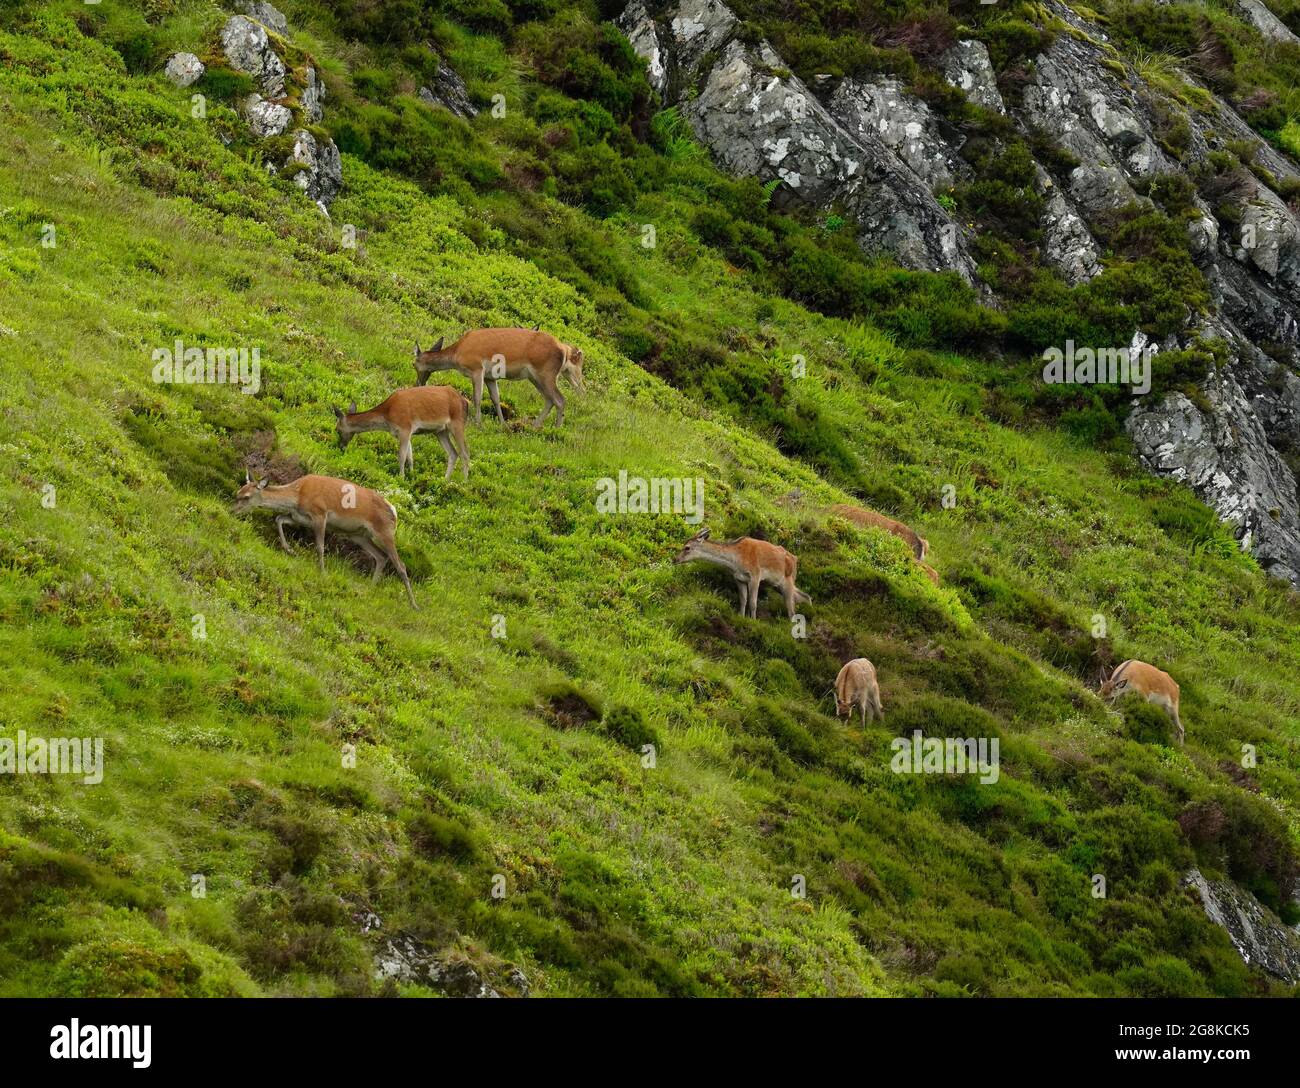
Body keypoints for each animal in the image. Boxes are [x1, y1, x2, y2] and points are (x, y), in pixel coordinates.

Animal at [231, 472, 417, 608]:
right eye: (237, 493)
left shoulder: (320, 513)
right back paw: (370, 589)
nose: (232, 511)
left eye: (246, 496)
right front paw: (289, 549)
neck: (297, 497)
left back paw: (414, 605)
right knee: (381, 556)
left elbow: (320, 546)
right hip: (358, 534)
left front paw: (322, 572)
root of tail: (394, 511)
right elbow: (279, 519)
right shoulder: (300, 518)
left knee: (400, 565)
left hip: (384, 532)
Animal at [334, 385, 470, 481]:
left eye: (337, 430)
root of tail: (465, 402)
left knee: (465, 453)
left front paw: (401, 477)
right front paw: (412, 476)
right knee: (453, 453)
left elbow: (402, 455)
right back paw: (445, 480)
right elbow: (410, 456)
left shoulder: (405, 428)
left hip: (457, 423)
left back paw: (464, 482)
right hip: (440, 431)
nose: (340, 447)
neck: (387, 416)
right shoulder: (407, 432)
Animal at [413, 328, 585, 428]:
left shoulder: (477, 368)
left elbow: (477, 397)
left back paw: (556, 429)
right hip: (535, 377)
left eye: (414, 364)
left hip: (546, 373)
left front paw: (477, 423)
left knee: (560, 399)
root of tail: (564, 349)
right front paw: (503, 424)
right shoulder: (490, 377)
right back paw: (534, 426)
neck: (457, 355)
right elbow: (495, 398)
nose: (417, 384)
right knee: (550, 399)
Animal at [673, 527, 811, 619]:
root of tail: (795, 559)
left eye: (687, 547)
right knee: (804, 597)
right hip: (776, 585)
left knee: (791, 610)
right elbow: (743, 599)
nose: (675, 559)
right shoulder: (739, 578)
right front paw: (741, 617)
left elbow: (753, 602)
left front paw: (753, 620)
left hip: (787, 581)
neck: (736, 561)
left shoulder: (755, 576)